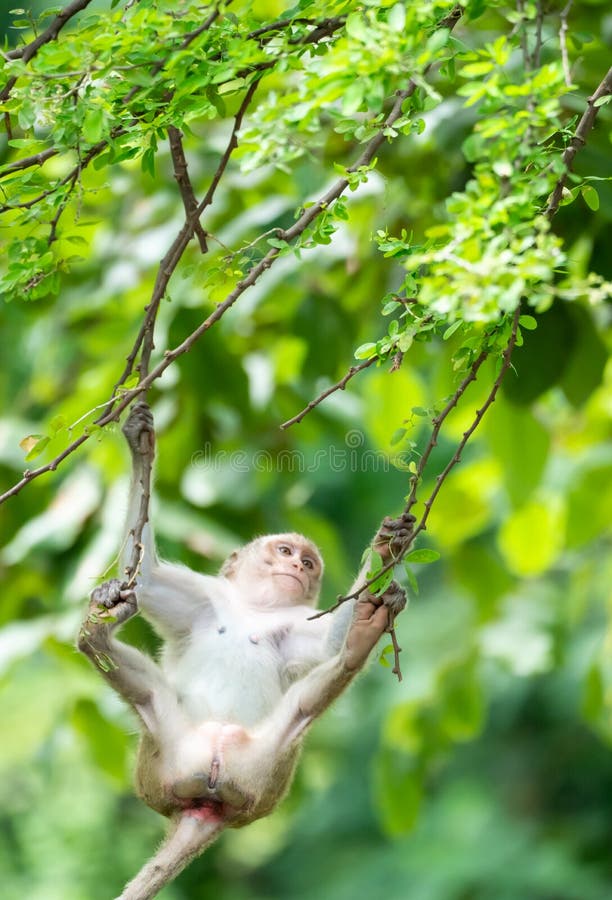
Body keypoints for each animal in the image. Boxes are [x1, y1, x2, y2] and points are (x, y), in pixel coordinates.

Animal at [78, 403, 412, 900]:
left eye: (307, 563)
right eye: (285, 551)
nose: (298, 567)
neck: (254, 609)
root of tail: (208, 803)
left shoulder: (295, 624)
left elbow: (327, 641)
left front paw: (387, 549)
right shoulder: (203, 597)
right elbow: (147, 577)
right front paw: (140, 444)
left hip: (261, 774)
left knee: (305, 706)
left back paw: (361, 641)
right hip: (164, 762)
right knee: (149, 697)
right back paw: (95, 638)